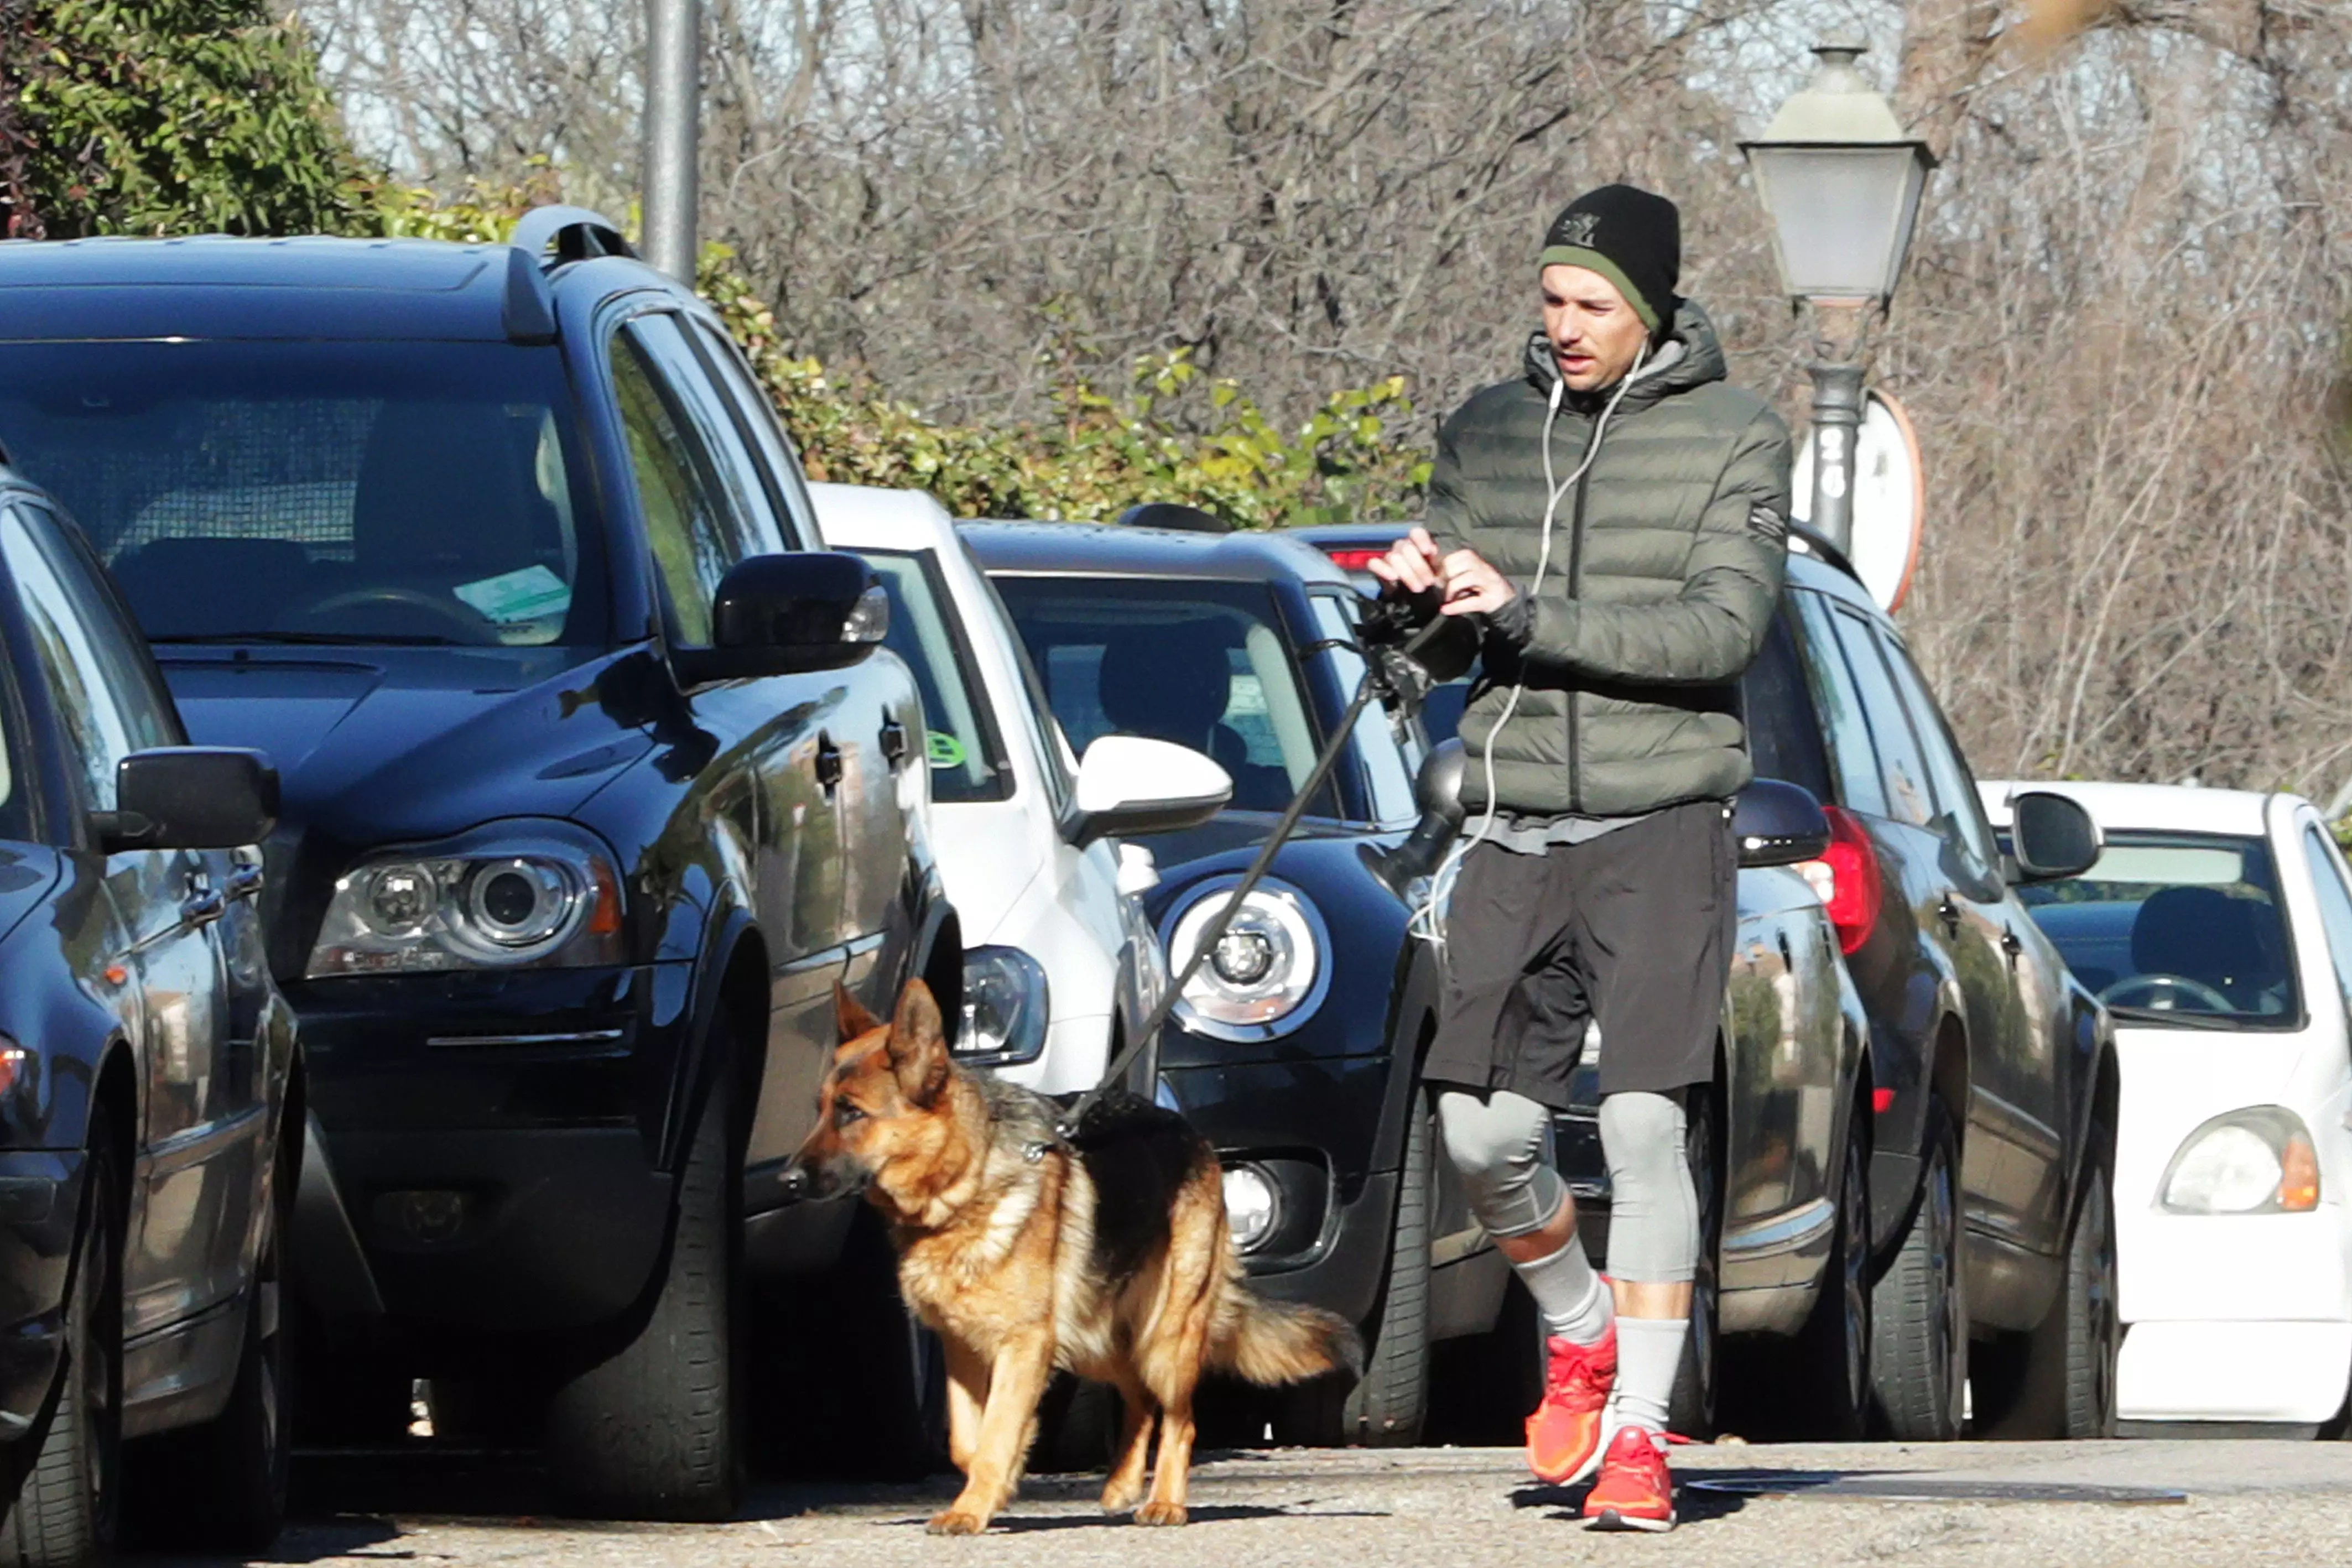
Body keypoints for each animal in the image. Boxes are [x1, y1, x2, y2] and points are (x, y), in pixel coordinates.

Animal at [790, 982, 1364, 1533]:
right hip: (1093, 1338)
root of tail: (1189, 1132)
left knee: (1181, 1420)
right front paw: (994, 1485)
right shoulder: (965, 1348)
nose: (788, 1179)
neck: (967, 1184)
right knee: (1139, 1398)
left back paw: (1166, 1502)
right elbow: (969, 1441)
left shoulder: (1024, 1345)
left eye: (852, 1112)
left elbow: (998, 1432)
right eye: (819, 1108)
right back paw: (1122, 1484)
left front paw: (972, 1507)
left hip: (1165, 1338)